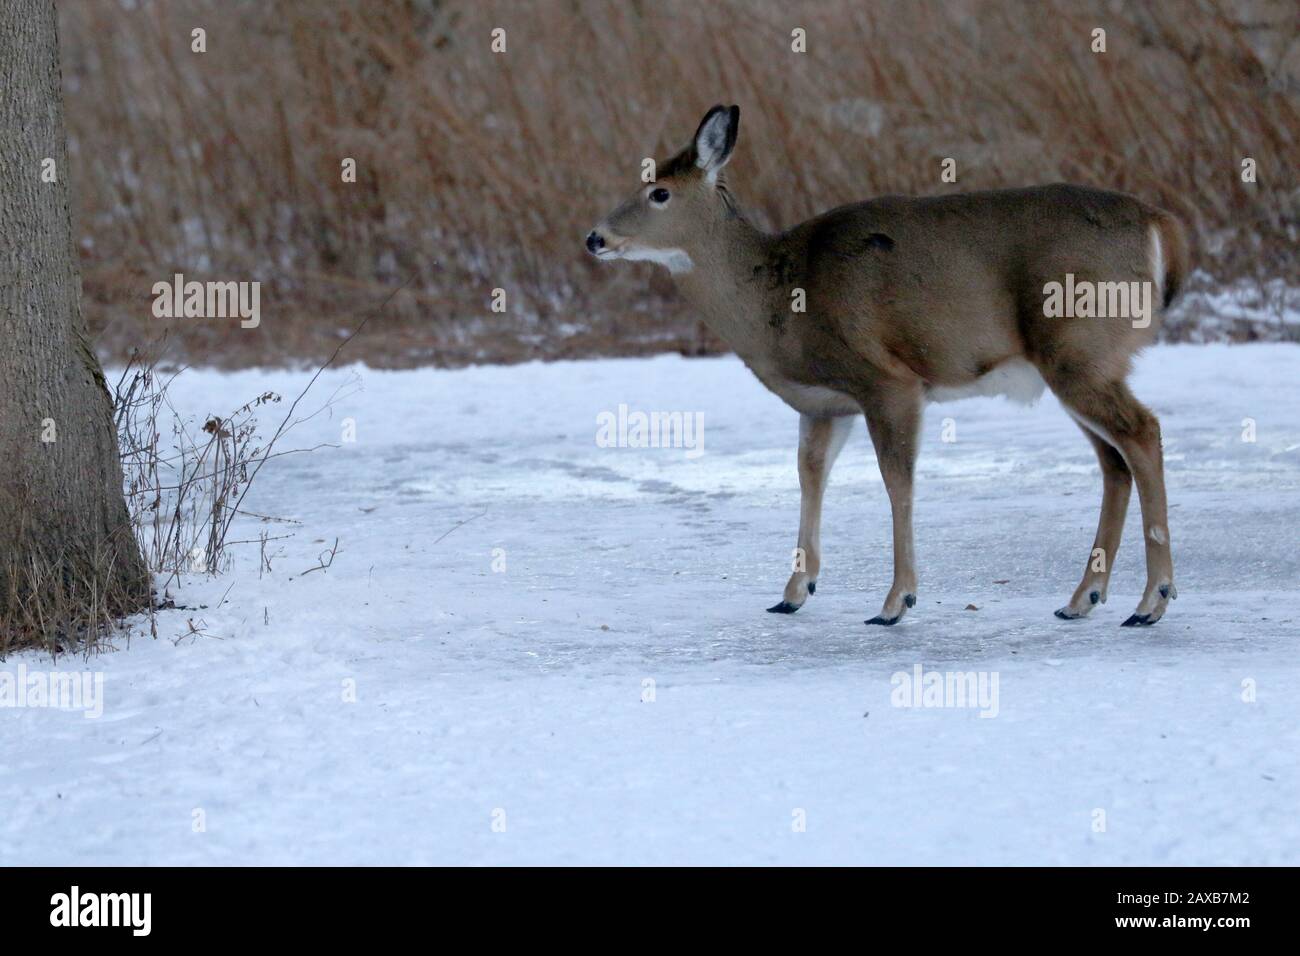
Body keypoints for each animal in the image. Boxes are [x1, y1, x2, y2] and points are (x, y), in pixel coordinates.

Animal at [586, 105, 1188, 627]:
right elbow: (810, 474)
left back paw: (1151, 601)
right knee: (1114, 461)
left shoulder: (886, 379)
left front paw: (896, 600)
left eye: (659, 192)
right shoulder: (824, 402)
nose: (594, 237)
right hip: (1078, 364)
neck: (780, 298)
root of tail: (1158, 223)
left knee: (1143, 433)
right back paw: (1083, 598)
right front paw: (793, 592)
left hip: (1079, 349)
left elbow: (897, 481)